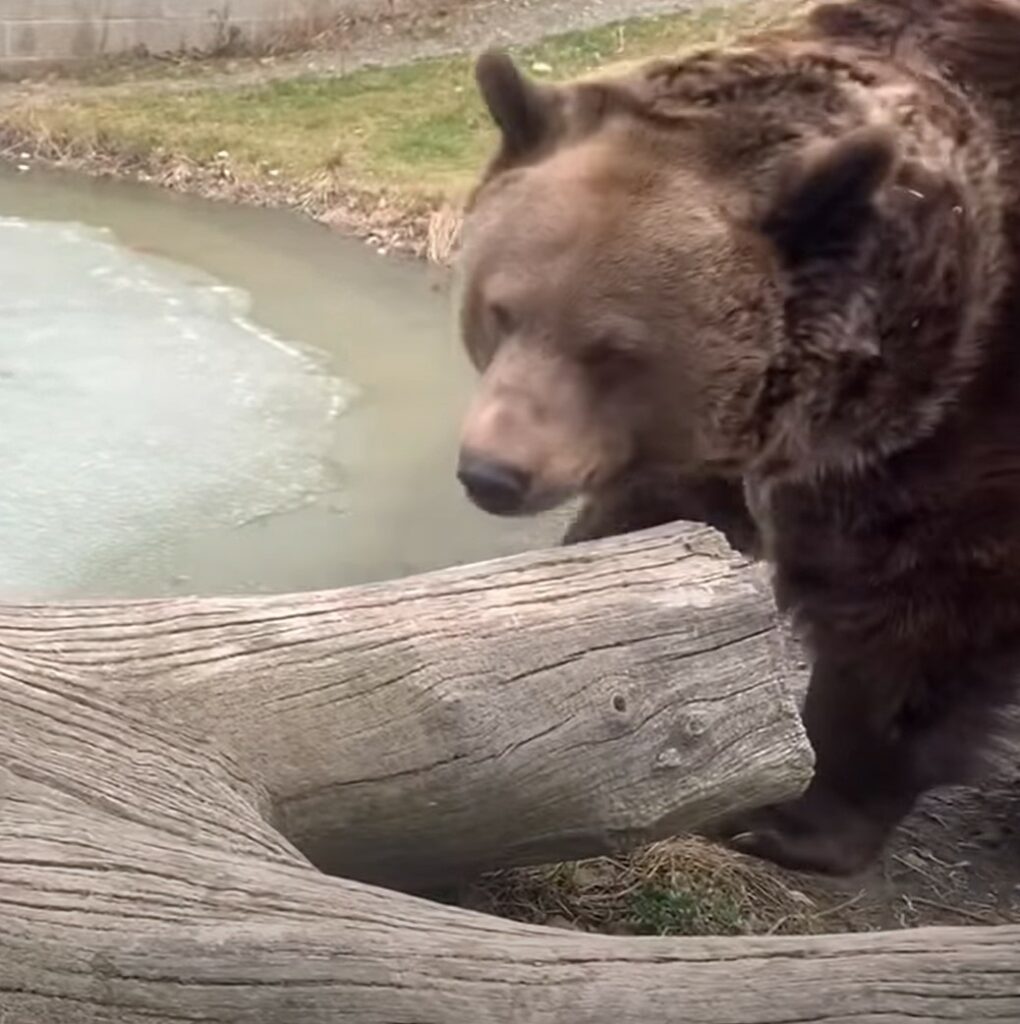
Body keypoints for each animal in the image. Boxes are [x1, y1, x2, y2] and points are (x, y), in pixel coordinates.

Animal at [453, 0, 1020, 876]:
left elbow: (913, 619)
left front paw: (792, 820)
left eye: (614, 350)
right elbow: (648, 531)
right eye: (501, 310)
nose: (492, 472)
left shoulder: (955, 442)